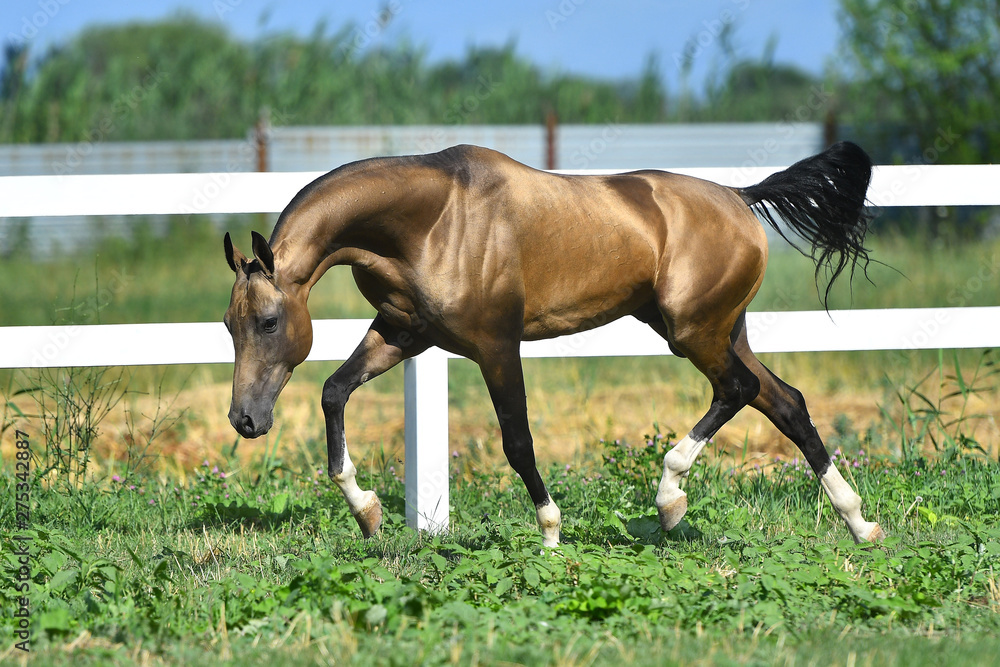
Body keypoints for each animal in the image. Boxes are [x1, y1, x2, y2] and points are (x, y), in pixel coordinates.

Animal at [223, 141, 885, 547]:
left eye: (269, 322)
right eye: (229, 324)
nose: (245, 420)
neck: (431, 222)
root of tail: (741, 198)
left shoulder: (495, 346)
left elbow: (517, 442)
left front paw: (550, 532)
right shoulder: (402, 334)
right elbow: (334, 392)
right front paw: (366, 512)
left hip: (693, 332)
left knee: (740, 388)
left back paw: (670, 496)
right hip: (717, 329)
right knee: (785, 401)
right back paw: (859, 523)